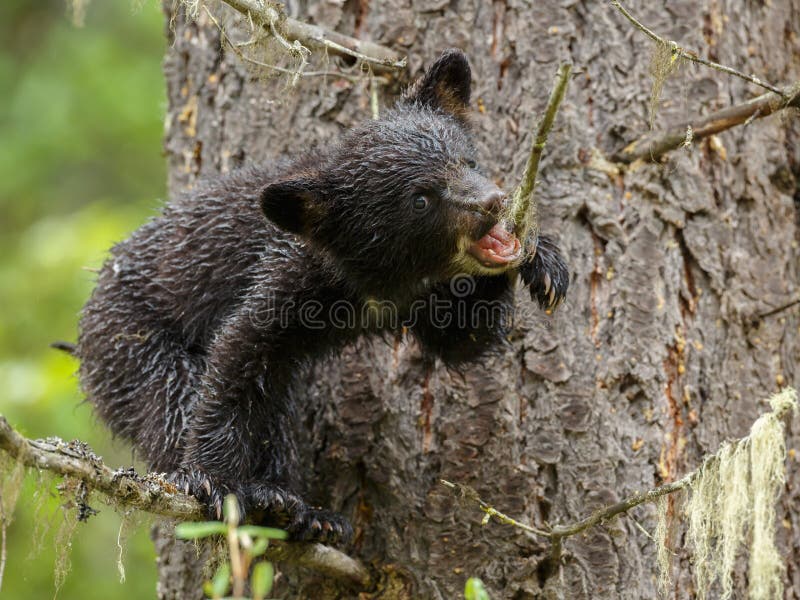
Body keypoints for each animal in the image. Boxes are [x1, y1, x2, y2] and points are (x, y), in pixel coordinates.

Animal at [75, 49, 569, 544]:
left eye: (467, 161)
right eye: (421, 199)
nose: (492, 202)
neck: (378, 279)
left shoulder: (420, 296)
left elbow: (457, 340)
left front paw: (542, 261)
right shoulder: (287, 273)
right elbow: (236, 353)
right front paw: (213, 481)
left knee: (277, 412)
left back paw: (295, 505)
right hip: (126, 340)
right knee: (171, 396)